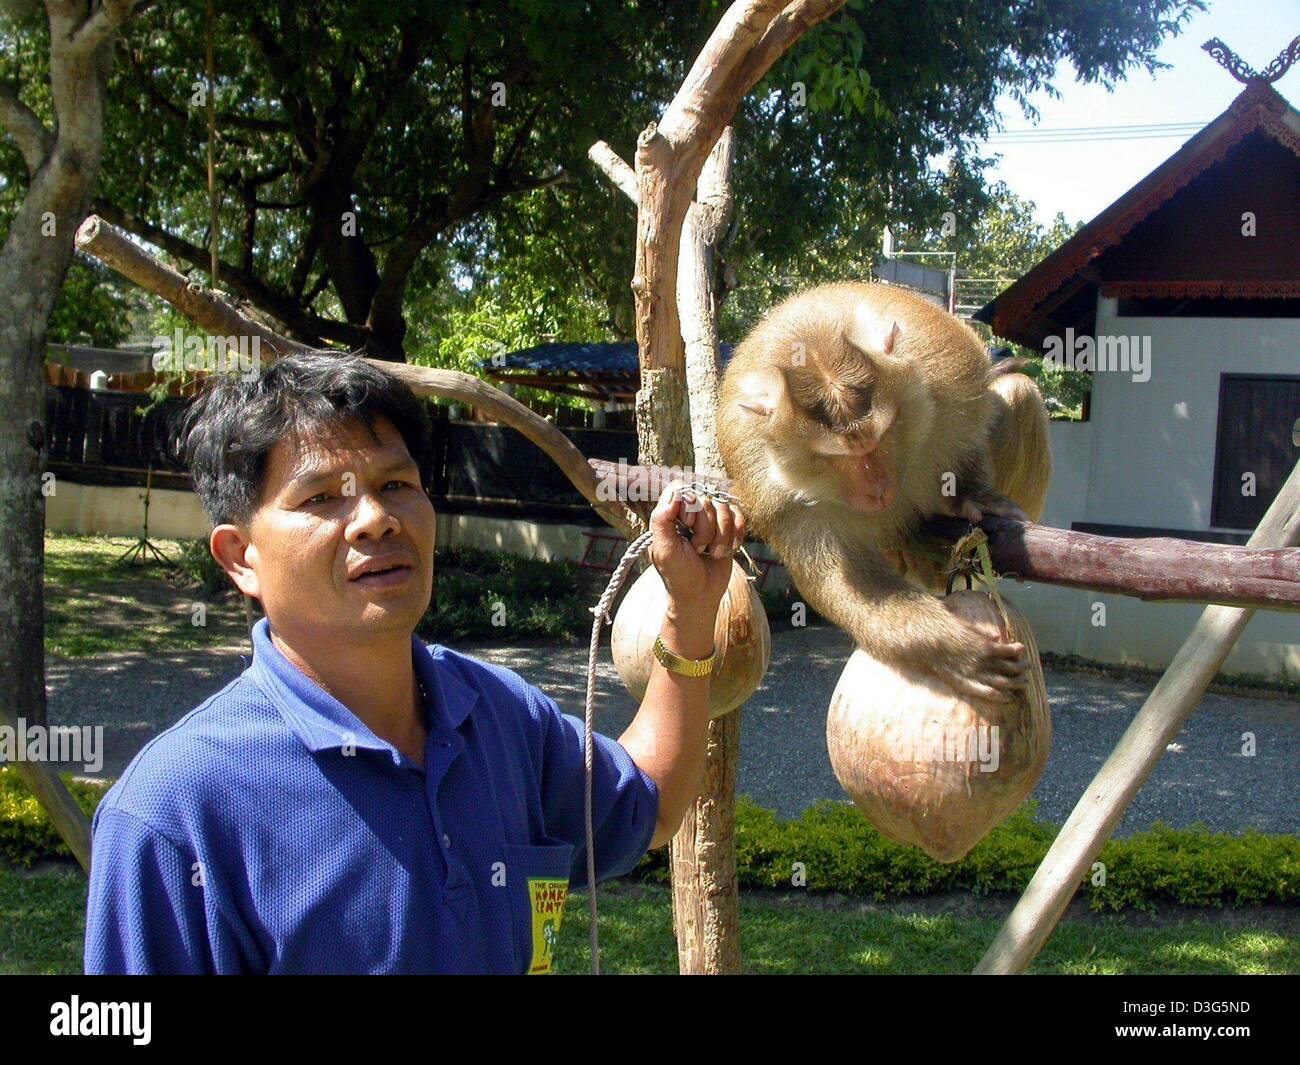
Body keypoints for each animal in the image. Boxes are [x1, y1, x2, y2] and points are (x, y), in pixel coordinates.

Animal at [717, 281, 1053, 704]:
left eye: (881, 438)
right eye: (834, 457)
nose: (876, 490)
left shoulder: (949, 369)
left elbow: (974, 422)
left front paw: (971, 493)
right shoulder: (771, 486)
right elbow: (843, 583)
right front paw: (957, 652)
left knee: (1019, 389)